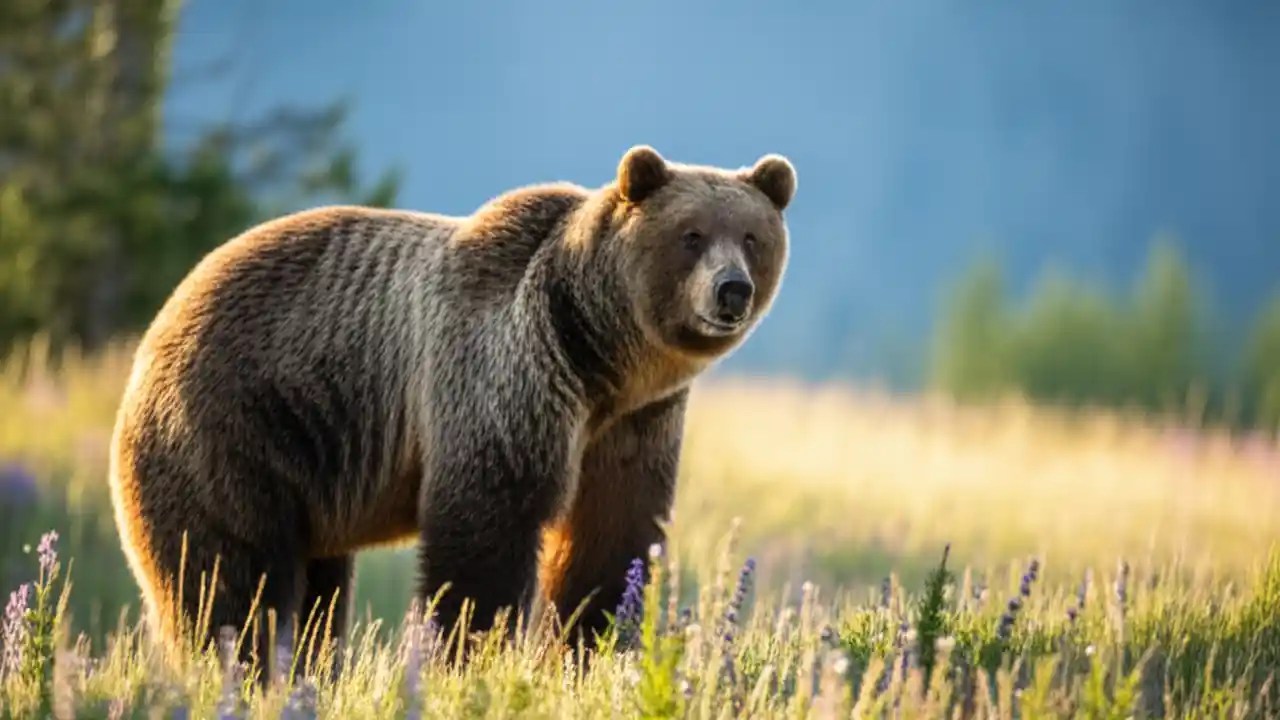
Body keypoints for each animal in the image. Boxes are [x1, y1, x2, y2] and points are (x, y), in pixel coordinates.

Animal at [107, 144, 796, 677]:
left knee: (317, 592)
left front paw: (587, 648)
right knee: (231, 579)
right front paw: (469, 654)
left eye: (752, 237)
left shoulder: (635, 423)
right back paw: (242, 670)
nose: (731, 289)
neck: (597, 355)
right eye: (691, 236)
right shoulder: (503, 372)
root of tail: (155, 331)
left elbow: (612, 536)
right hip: (234, 427)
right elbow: (486, 526)